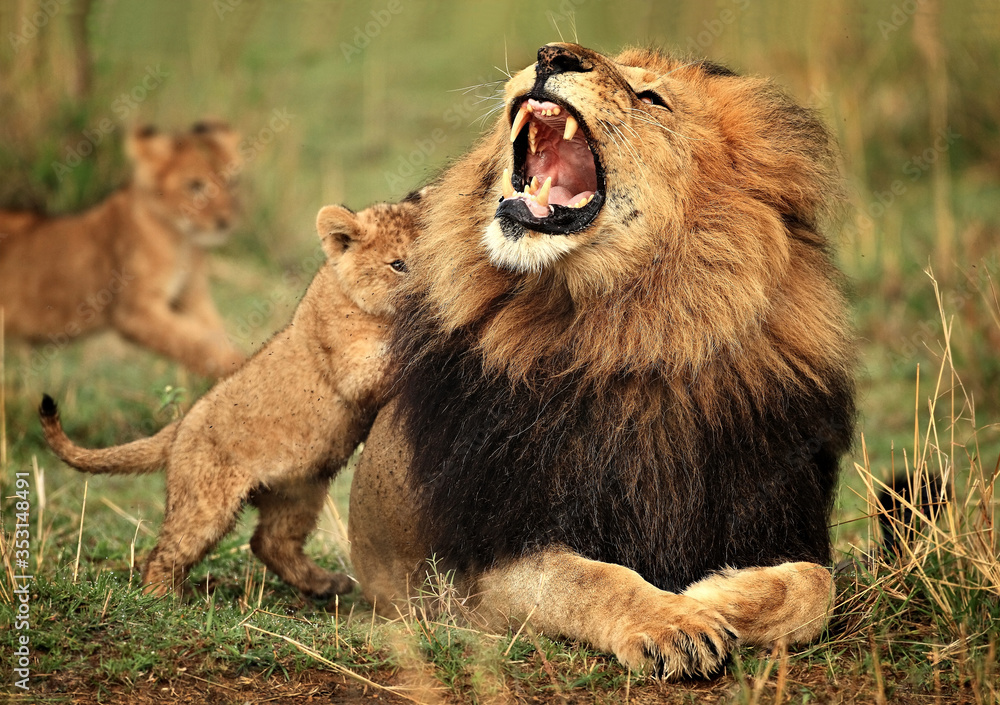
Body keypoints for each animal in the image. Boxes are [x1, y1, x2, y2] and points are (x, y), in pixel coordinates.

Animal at [0, 121, 246, 378]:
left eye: (232, 182)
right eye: (195, 186)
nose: (225, 221)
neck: (183, 241)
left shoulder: (191, 296)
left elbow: (213, 332)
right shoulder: (135, 312)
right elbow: (194, 342)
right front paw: (235, 364)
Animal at [40, 198, 419, 597]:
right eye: (398, 264)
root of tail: (178, 428)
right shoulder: (354, 369)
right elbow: (396, 358)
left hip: (298, 491)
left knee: (268, 542)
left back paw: (326, 584)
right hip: (205, 502)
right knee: (166, 552)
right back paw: (161, 599)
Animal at [348, 44, 855, 679]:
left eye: (653, 98)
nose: (553, 54)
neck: (627, 332)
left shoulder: (776, 513)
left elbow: (815, 587)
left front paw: (718, 595)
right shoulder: (475, 576)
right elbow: (590, 580)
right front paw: (677, 622)